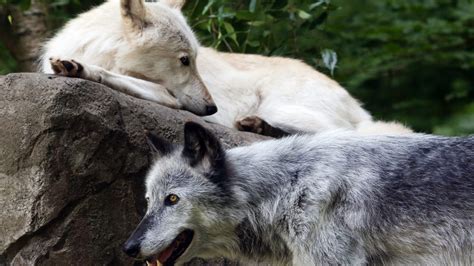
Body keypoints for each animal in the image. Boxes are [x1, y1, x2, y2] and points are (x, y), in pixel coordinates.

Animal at [40, 0, 412, 136]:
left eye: (195, 59)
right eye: (185, 61)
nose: (211, 109)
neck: (99, 47)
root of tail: (356, 105)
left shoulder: (170, 97)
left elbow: (110, 75)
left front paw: (78, 68)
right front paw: (71, 65)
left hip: (287, 108)